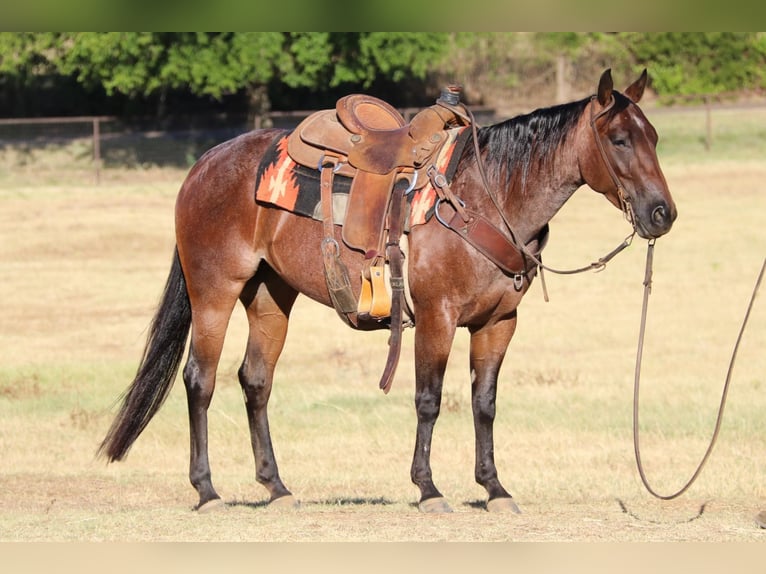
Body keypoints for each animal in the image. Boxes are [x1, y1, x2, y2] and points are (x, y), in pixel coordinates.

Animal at [99, 69, 676, 514]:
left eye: (653, 137)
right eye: (620, 140)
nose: (662, 214)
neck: (486, 199)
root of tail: (204, 164)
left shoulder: (498, 323)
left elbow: (484, 403)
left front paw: (494, 489)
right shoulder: (439, 317)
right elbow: (429, 399)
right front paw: (428, 489)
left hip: (270, 296)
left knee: (255, 380)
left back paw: (278, 488)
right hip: (215, 290)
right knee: (200, 380)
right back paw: (208, 491)